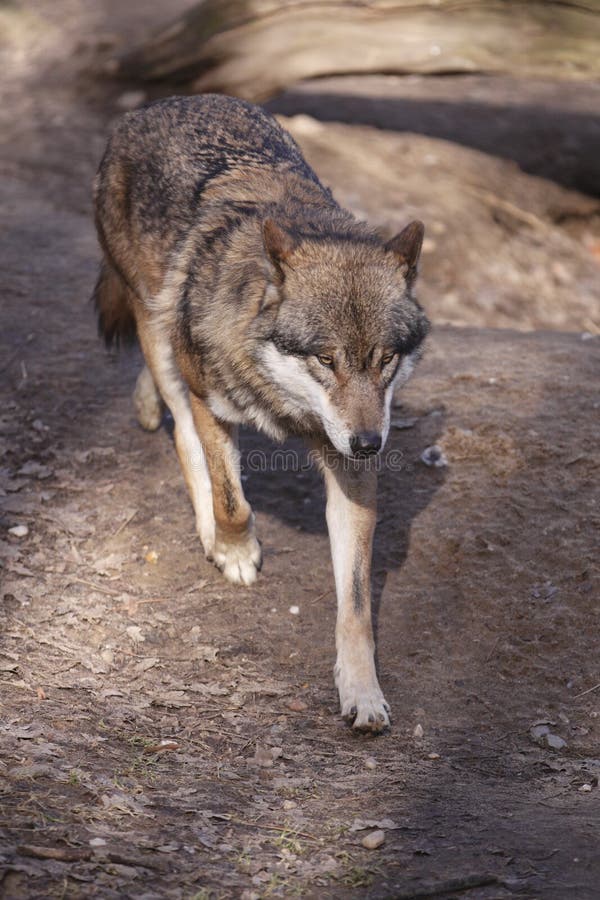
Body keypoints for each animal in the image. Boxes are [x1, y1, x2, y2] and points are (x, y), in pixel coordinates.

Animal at [93, 95, 429, 733]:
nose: (370, 444)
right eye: (325, 359)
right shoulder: (211, 404)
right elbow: (232, 498)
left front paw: (361, 691)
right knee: (182, 433)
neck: (285, 406)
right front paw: (234, 551)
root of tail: (158, 105)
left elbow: (356, 602)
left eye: (385, 359)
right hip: (158, 330)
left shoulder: (348, 465)